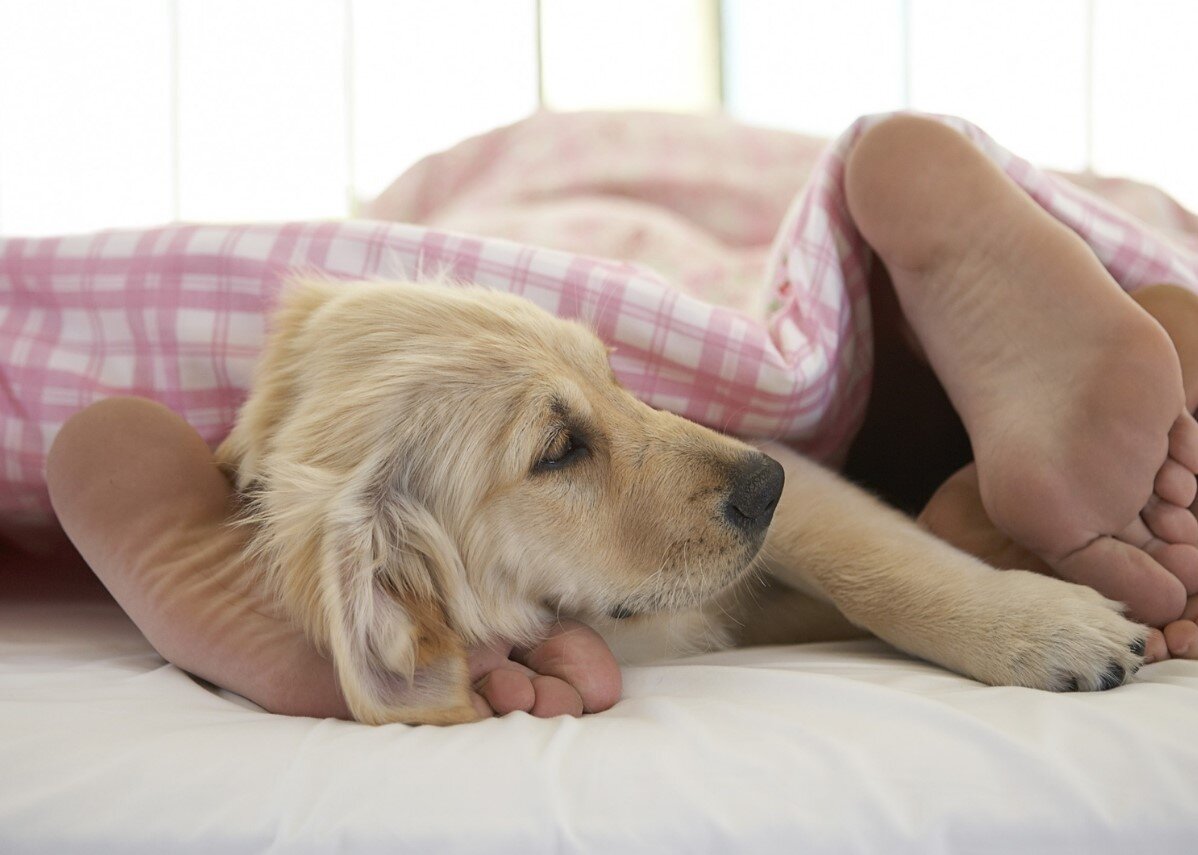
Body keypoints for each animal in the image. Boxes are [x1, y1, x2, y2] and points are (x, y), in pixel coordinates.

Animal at [218, 277, 1150, 718]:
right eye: (558, 450)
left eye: (613, 375)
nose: (766, 484)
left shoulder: (797, 476)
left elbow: (874, 564)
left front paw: (1038, 625)